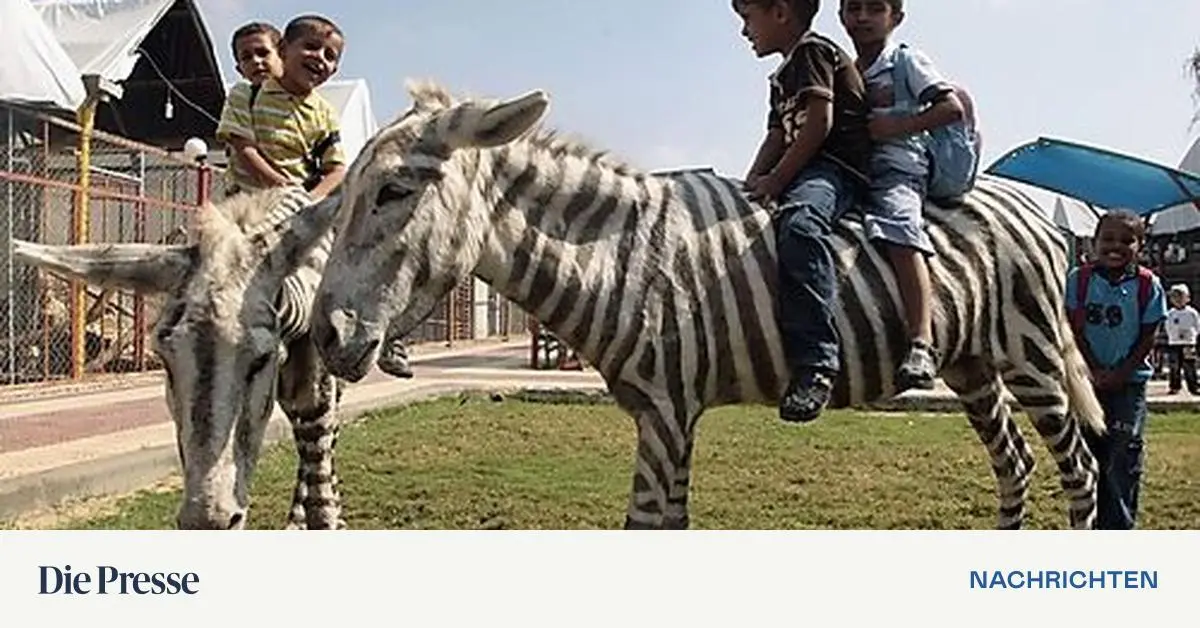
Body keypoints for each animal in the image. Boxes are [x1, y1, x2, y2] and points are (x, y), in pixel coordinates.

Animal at [12, 186, 350, 530]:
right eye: (164, 359)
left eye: (263, 358)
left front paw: (328, 516)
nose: (208, 520)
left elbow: (320, 484)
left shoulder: (317, 399)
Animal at [309, 81, 1105, 530]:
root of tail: (1031, 210)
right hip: (972, 365)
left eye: (391, 192)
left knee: (1081, 476)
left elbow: (644, 525)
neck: (622, 256)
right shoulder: (668, 411)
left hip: (1033, 358)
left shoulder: (667, 406)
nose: (324, 336)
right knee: (1015, 467)